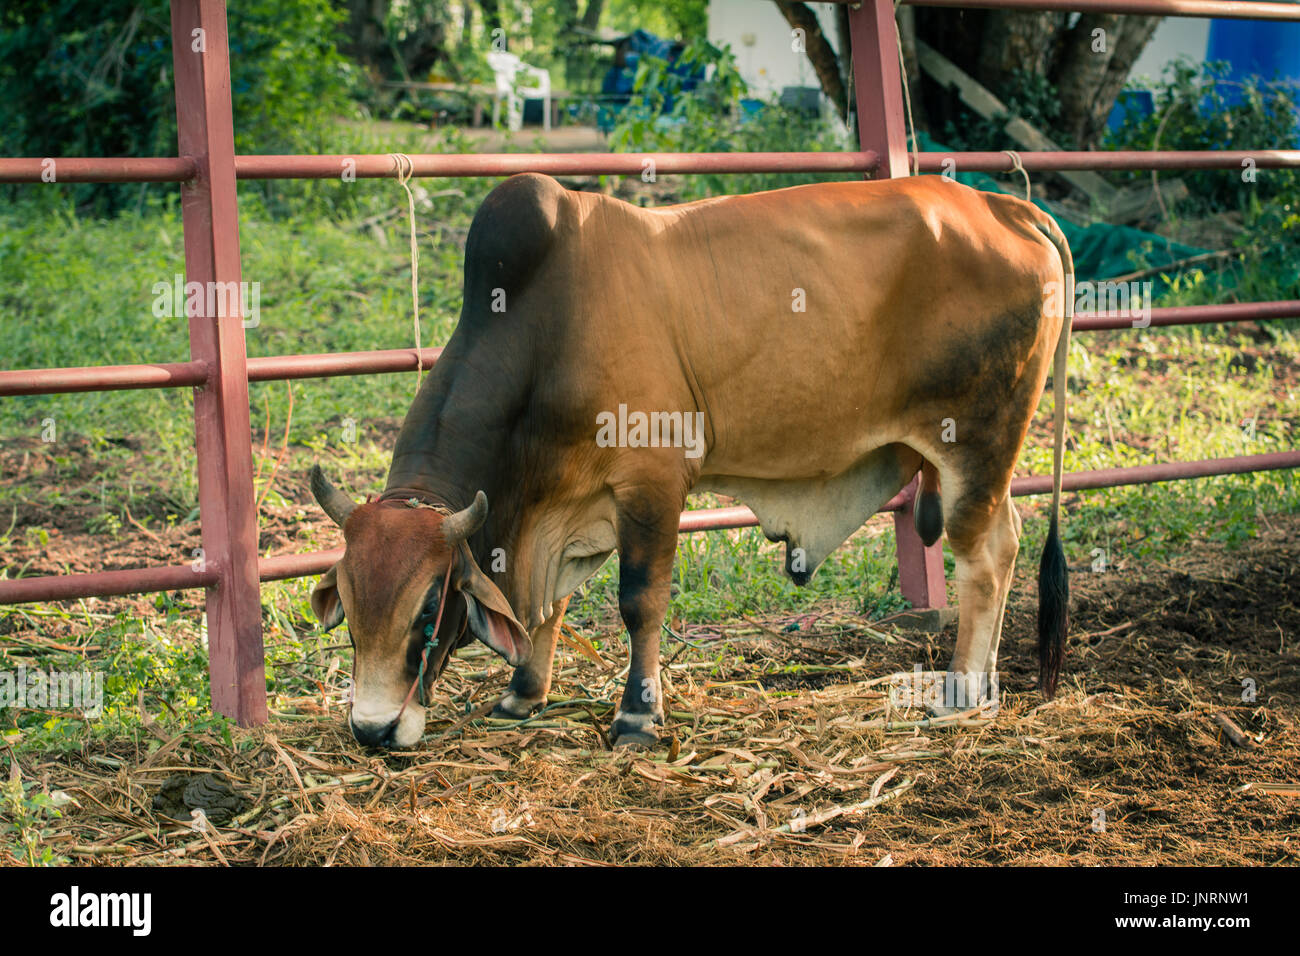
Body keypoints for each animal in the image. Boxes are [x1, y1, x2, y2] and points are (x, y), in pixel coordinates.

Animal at [309, 172, 1073, 749]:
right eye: (347, 604)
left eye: (428, 609)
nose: (371, 731)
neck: (544, 327)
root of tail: (1007, 206)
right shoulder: (564, 504)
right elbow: (551, 606)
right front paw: (524, 694)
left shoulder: (651, 480)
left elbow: (639, 602)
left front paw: (637, 718)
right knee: (1003, 540)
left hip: (977, 442)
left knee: (986, 556)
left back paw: (964, 691)